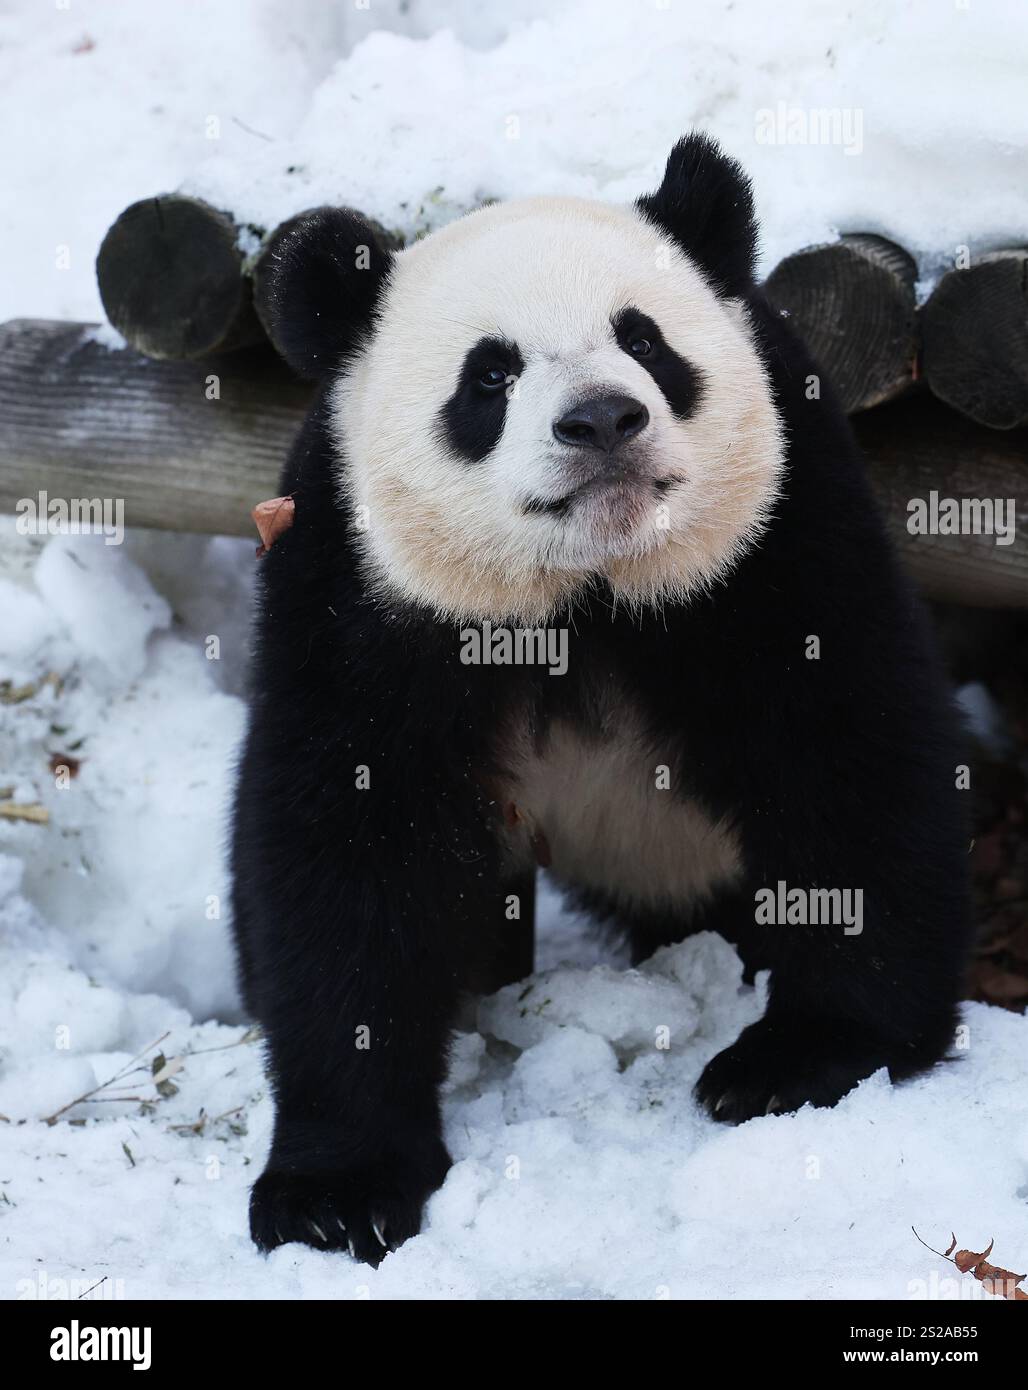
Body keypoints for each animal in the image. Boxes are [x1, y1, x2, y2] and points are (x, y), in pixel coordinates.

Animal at [231, 134, 971, 1264]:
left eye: (645, 340)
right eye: (490, 373)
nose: (601, 420)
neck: (584, 589)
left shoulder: (776, 530)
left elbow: (847, 750)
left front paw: (803, 1056)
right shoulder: (361, 585)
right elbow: (344, 842)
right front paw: (335, 1193)